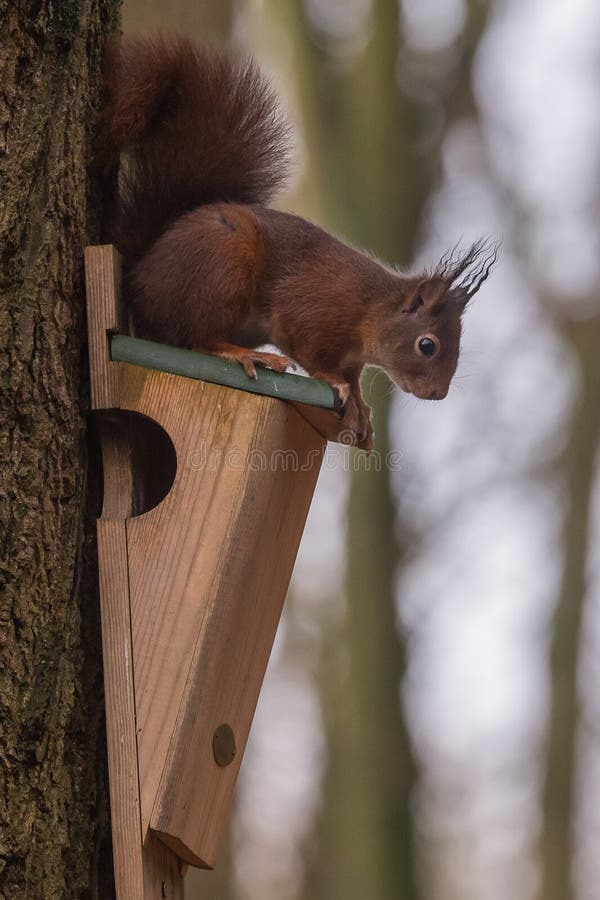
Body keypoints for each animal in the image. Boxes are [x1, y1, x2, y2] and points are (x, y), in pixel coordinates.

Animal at [100, 33, 498, 451]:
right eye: (427, 345)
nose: (437, 394)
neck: (369, 310)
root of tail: (141, 274)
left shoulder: (352, 355)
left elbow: (353, 378)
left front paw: (359, 407)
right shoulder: (314, 311)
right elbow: (309, 351)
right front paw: (335, 383)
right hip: (223, 265)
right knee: (197, 339)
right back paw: (247, 356)